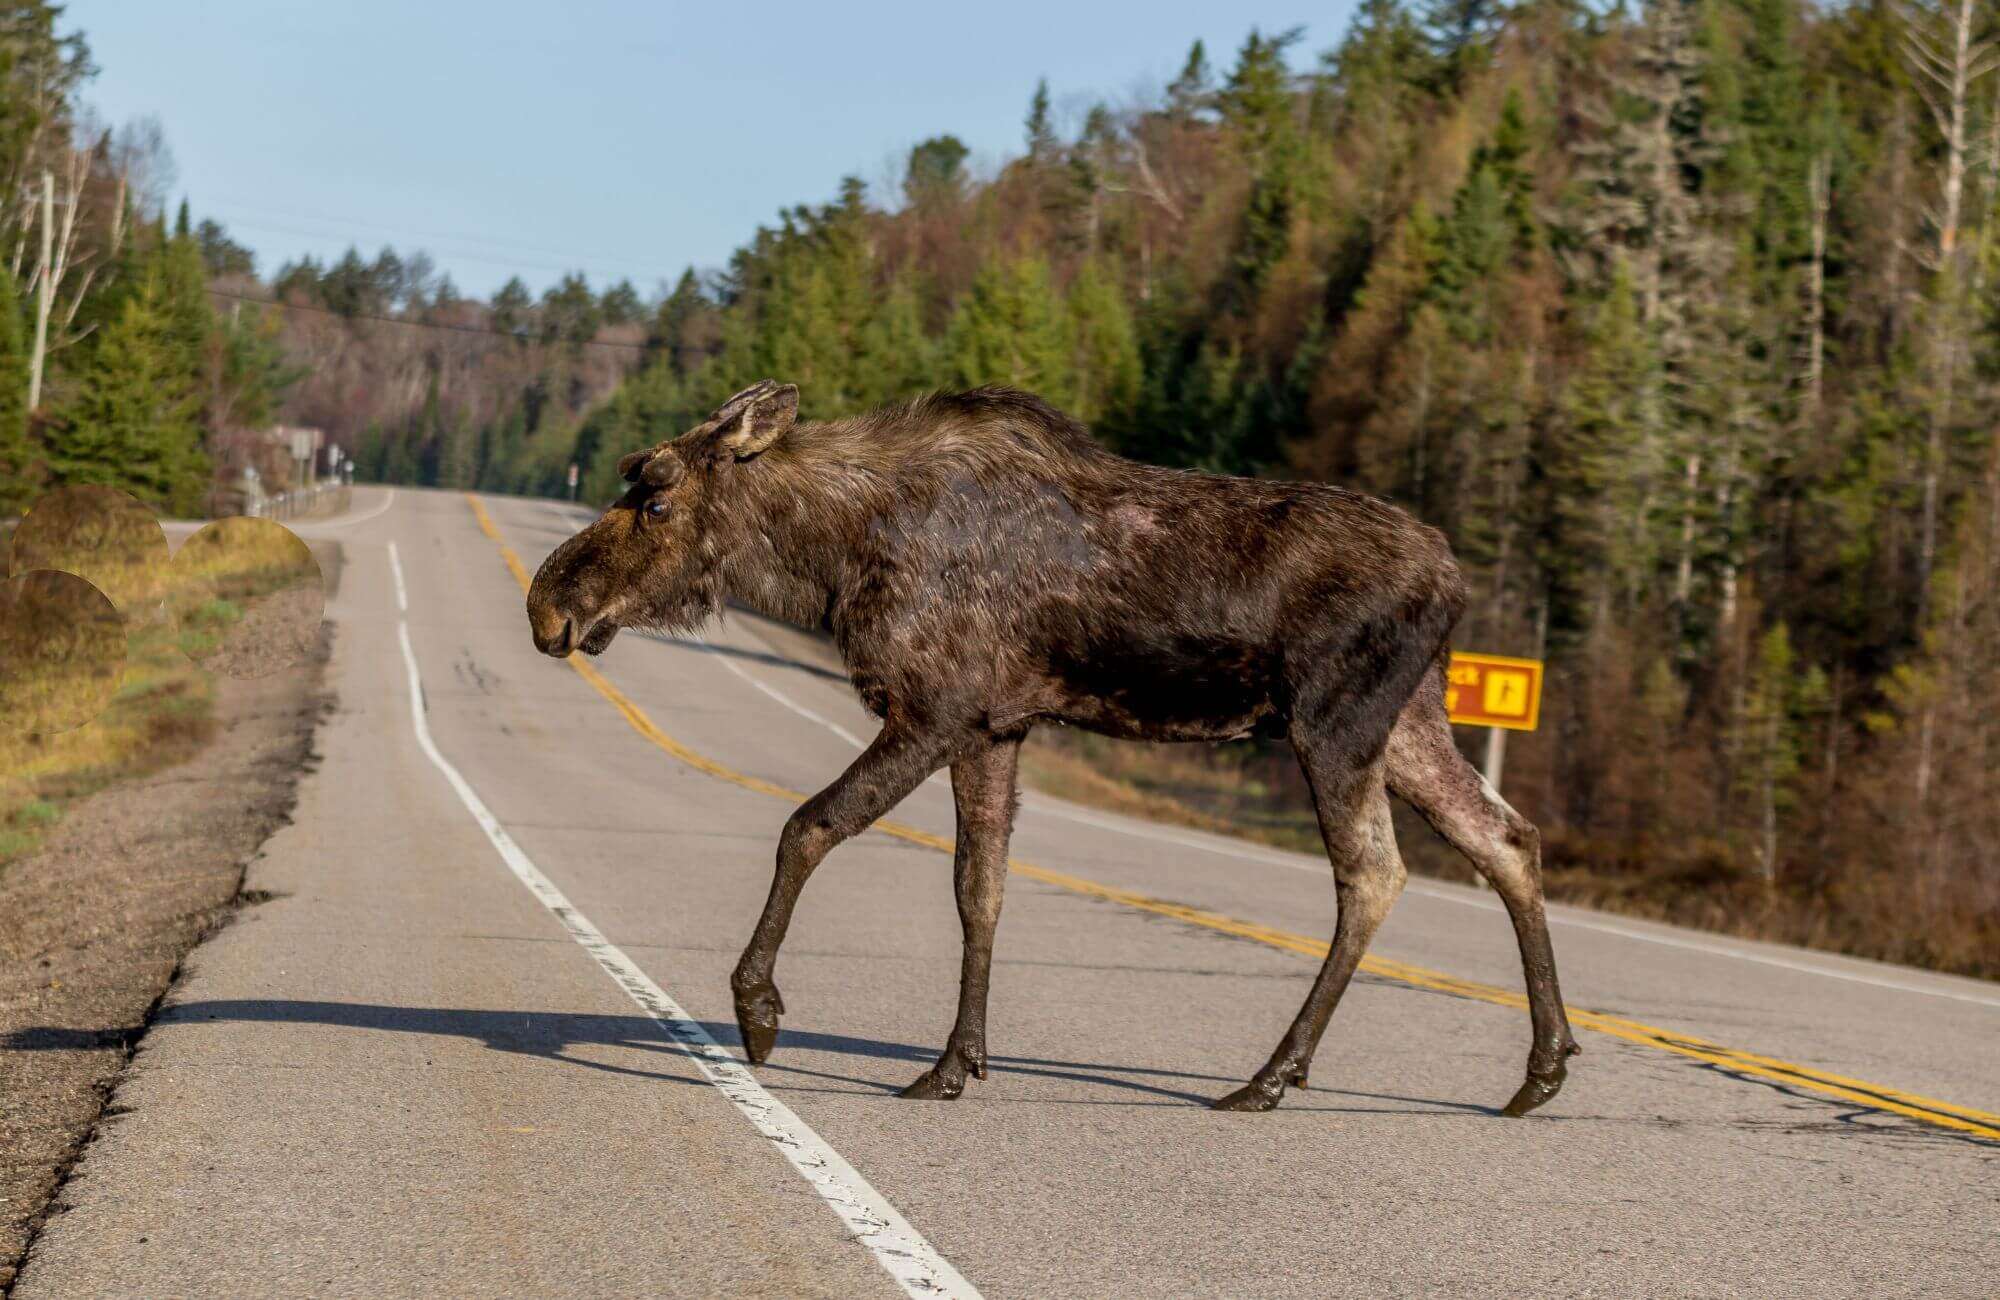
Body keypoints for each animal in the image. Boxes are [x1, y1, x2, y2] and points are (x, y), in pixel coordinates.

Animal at [526, 380, 1580, 1115]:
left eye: (656, 500)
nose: (548, 604)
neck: (827, 560)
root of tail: (1455, 577)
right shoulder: (996, 726)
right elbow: (979, 889)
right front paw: (954, 1064)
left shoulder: (935, 710)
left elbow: (809, 827)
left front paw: (758, 1012)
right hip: (1409, 723)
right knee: (1506, 839)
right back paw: (1542, 1069)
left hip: (1335, 722)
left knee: (1375, 872)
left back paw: (1272, 1076)